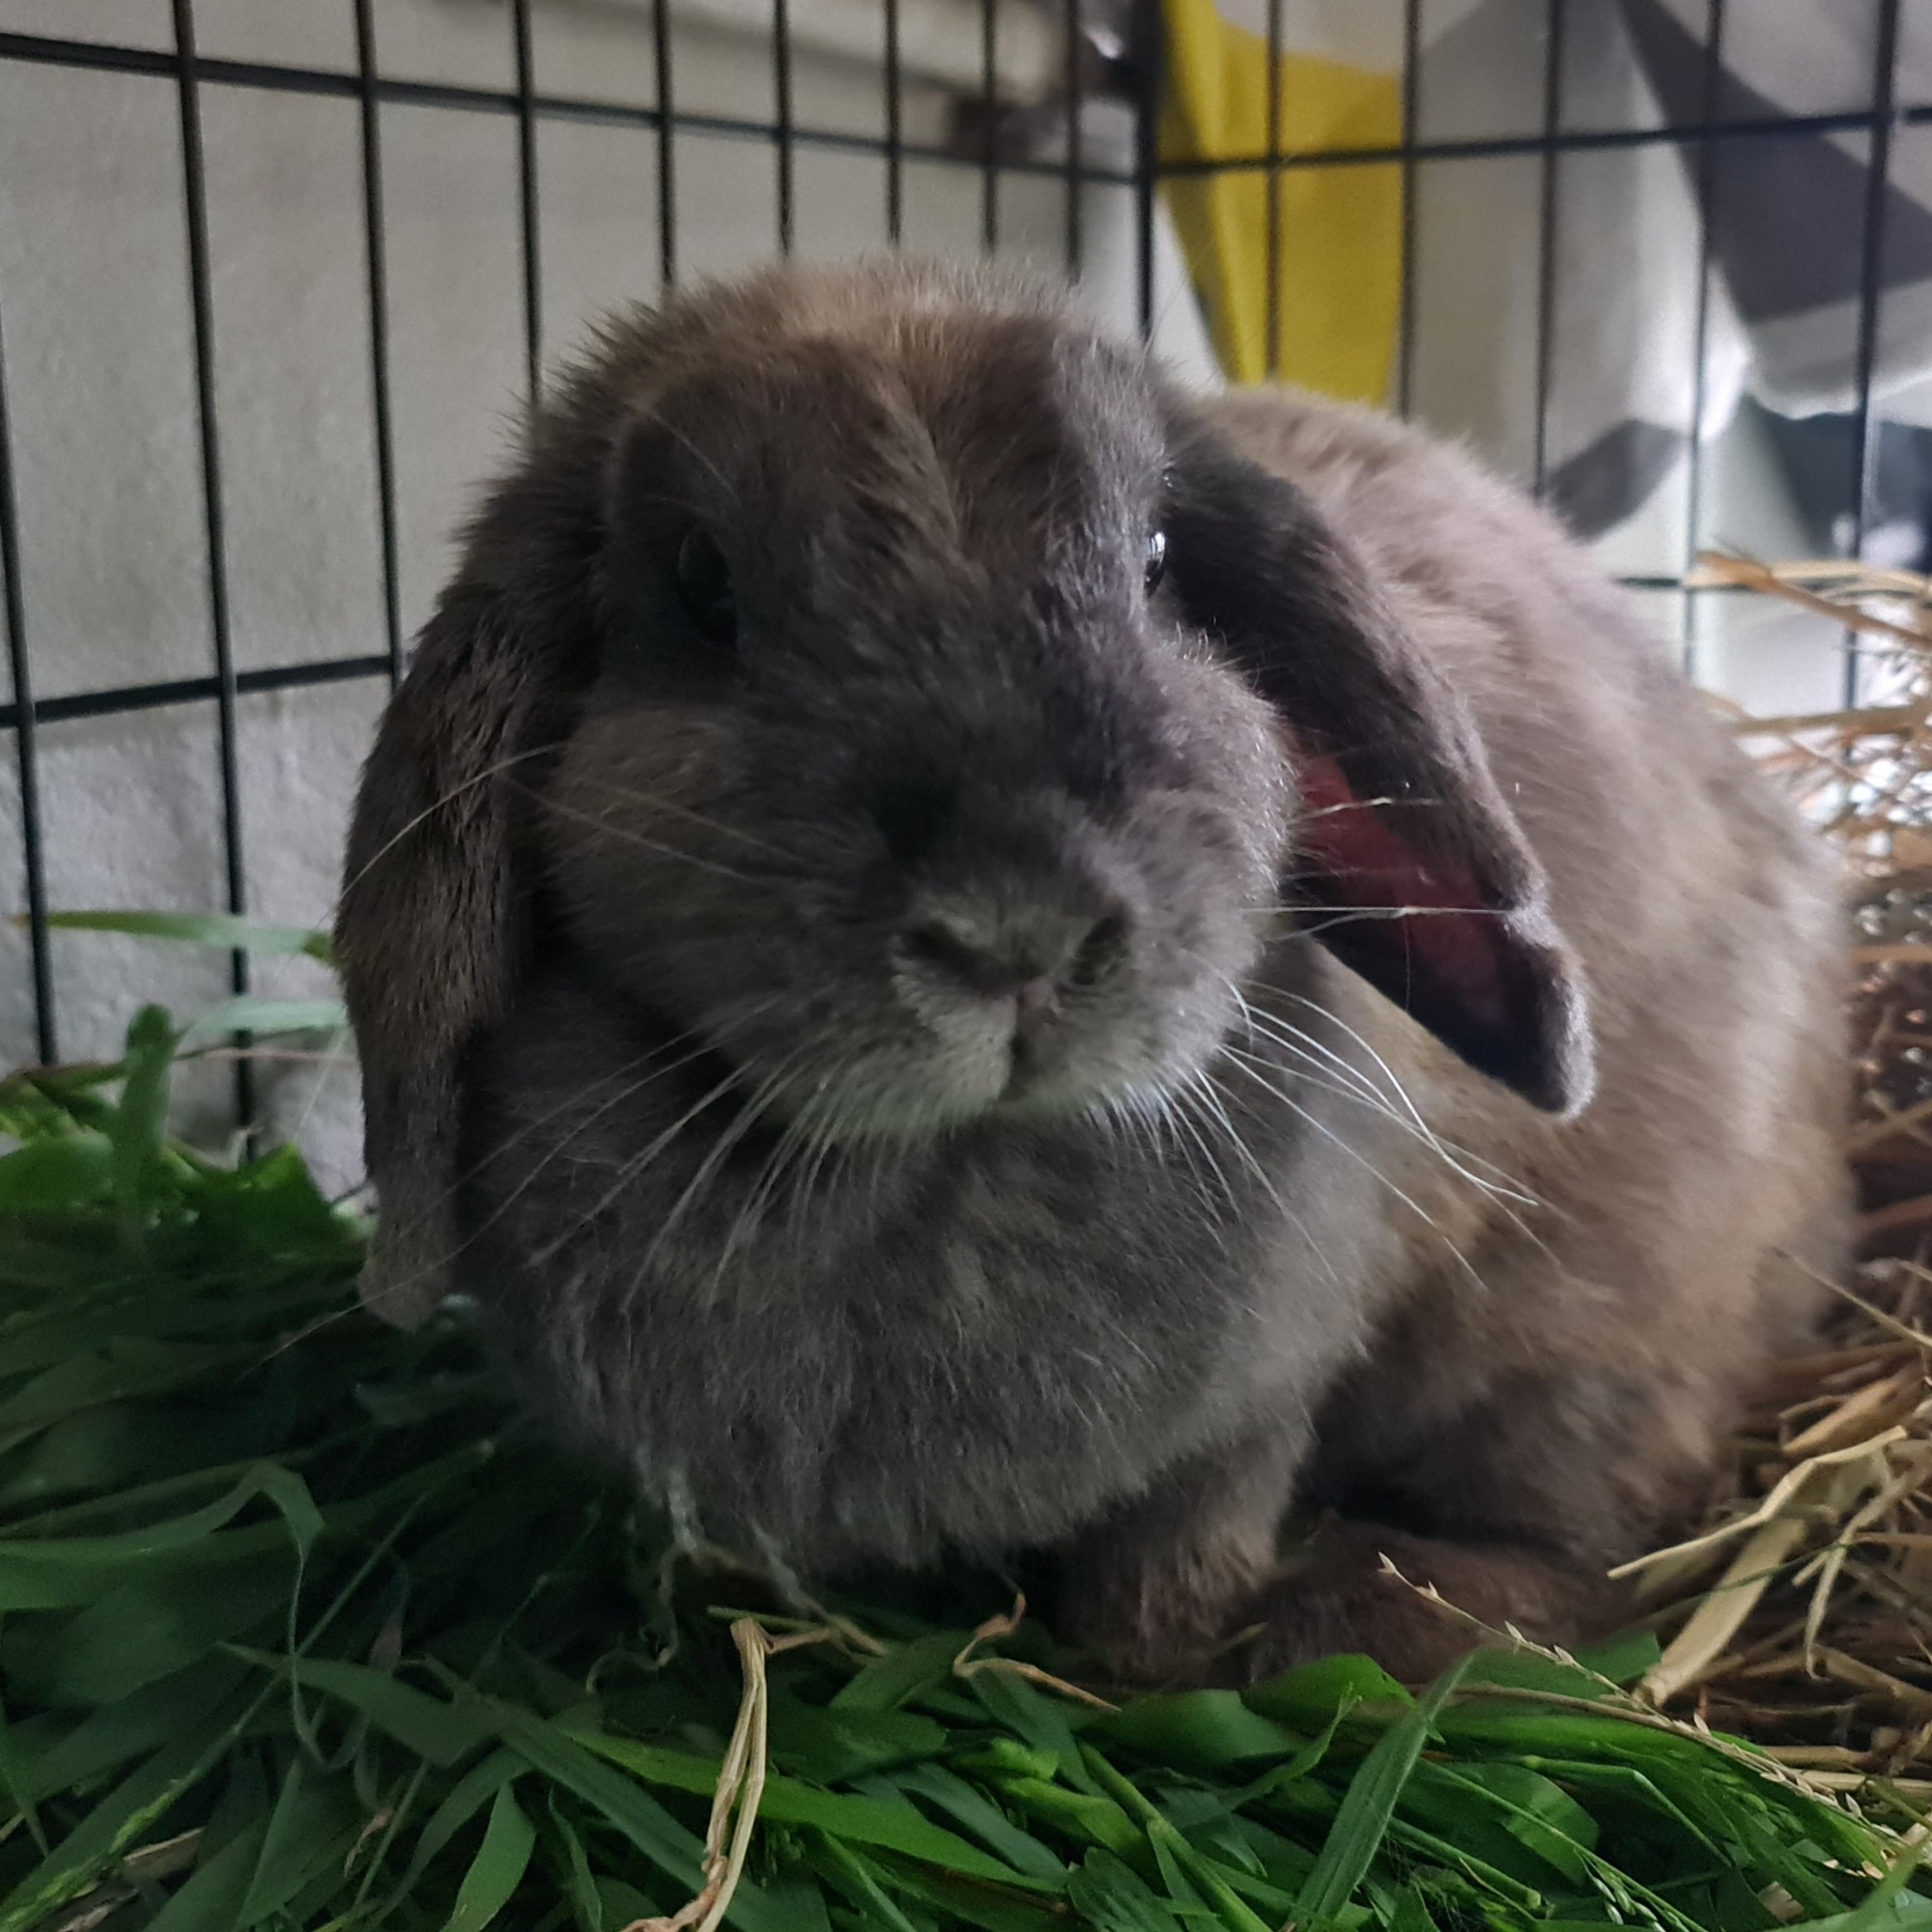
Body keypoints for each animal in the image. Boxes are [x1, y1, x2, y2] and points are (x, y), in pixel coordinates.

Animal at [336, 259, 1845, 1685]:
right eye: (702, 585)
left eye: (1163, 560)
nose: (1019, 932)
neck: (932, 1173)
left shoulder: (1259, 1411)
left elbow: (1168, 1578)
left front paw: (1186, 1643)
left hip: (1580, 1345)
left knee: (1588, 1543)